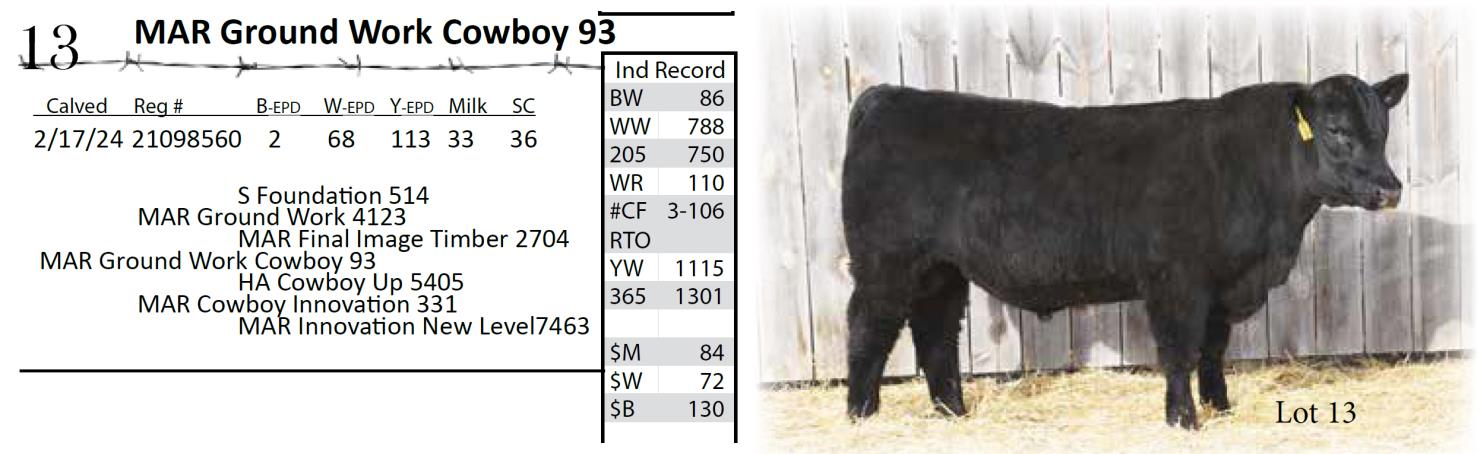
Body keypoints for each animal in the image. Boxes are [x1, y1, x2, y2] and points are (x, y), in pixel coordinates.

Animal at [841, 73, 1408, 429]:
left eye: (1382, 130)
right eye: (1336, 130)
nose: (1390, 189)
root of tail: (889, 96)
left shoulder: (1222, 283)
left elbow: (1213, 350)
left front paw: (1220, 408)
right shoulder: (1176, 279)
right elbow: (1180, 350)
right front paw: (1183, 419)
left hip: (940, 269)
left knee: (936, 333)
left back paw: (952, 412)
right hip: (885, 263)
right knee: (869, 327)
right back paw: (860, 414)